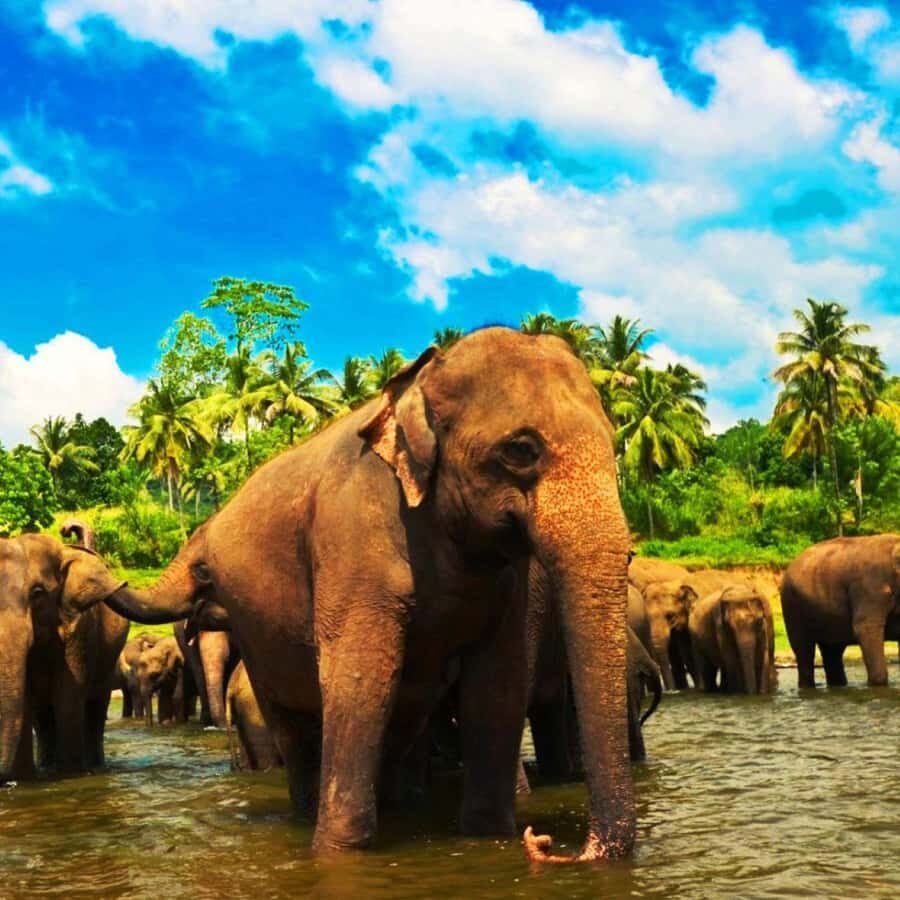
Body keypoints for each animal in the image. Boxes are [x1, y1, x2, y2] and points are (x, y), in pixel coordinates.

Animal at [0, 531, 129, 780]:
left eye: (37, 593)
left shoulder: (78, 628)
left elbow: (68, 696)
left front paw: (71, 775)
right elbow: (26, 700)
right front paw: (23, 780)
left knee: (96, 707)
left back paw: (94, 767)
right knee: (42, 715)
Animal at [99, 327, 635, 863]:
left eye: (615, 445)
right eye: (521, 449)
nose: (546, 843)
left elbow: (498, 684)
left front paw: (489, 837)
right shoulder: (352, 536)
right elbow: (360, 679)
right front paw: (339, 855)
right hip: (255, 636)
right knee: (295, 727)